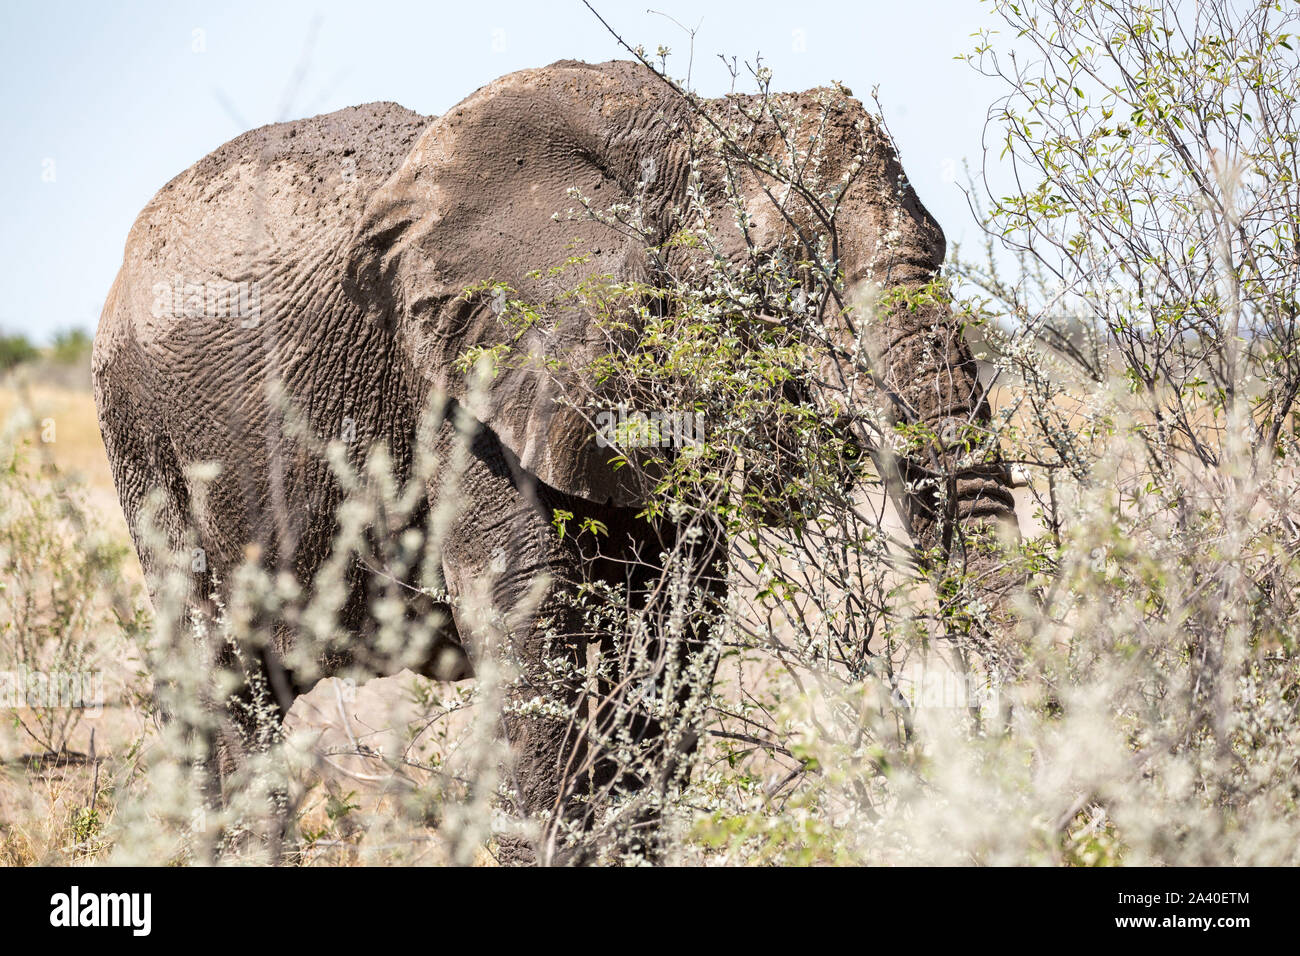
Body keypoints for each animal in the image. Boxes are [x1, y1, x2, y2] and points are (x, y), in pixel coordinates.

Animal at [93, 59, 1017, 862]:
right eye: (784, 276)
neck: (678, 131)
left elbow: (675, 633)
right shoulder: (470, 391)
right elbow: (532, 625)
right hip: (143, 434)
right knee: (224, 683)